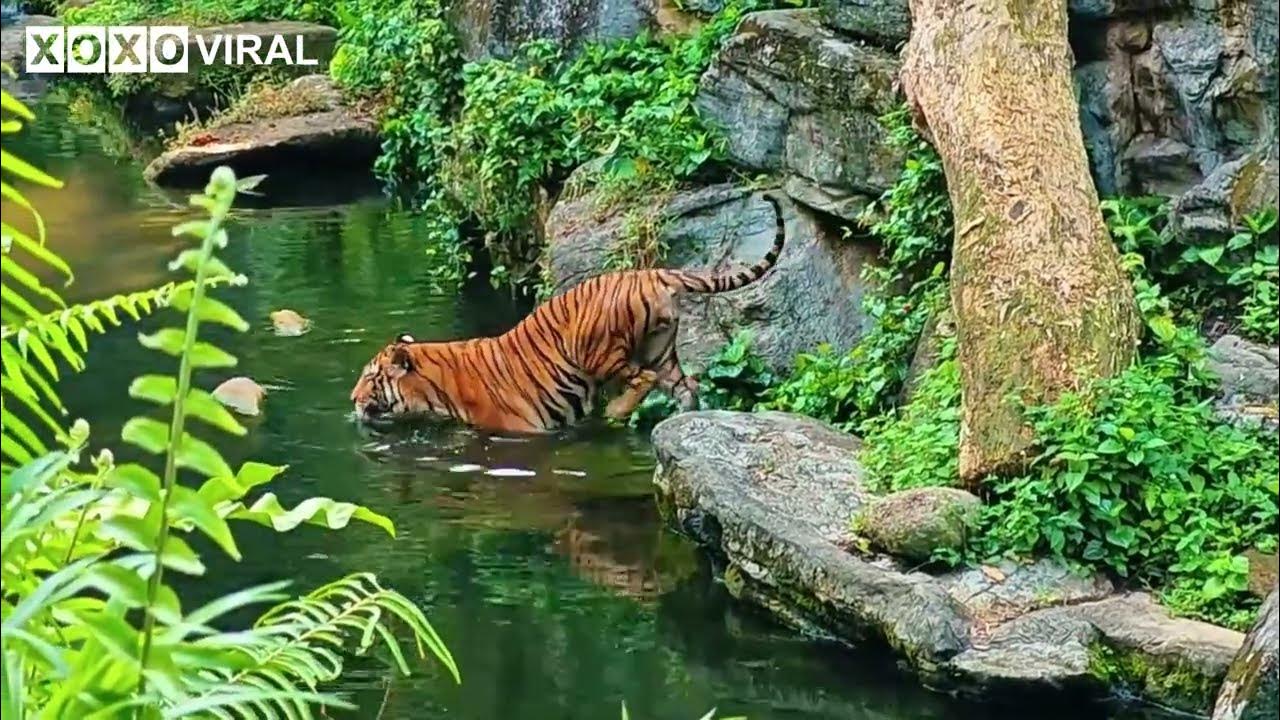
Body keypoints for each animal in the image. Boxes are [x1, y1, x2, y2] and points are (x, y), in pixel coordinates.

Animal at [350, 193, 786, 433]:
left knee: (642, 380)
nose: (352, 398)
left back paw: (615, 411)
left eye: (371, 378)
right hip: (661, 349)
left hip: (599, 350)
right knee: (687, 386)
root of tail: (651, 271)